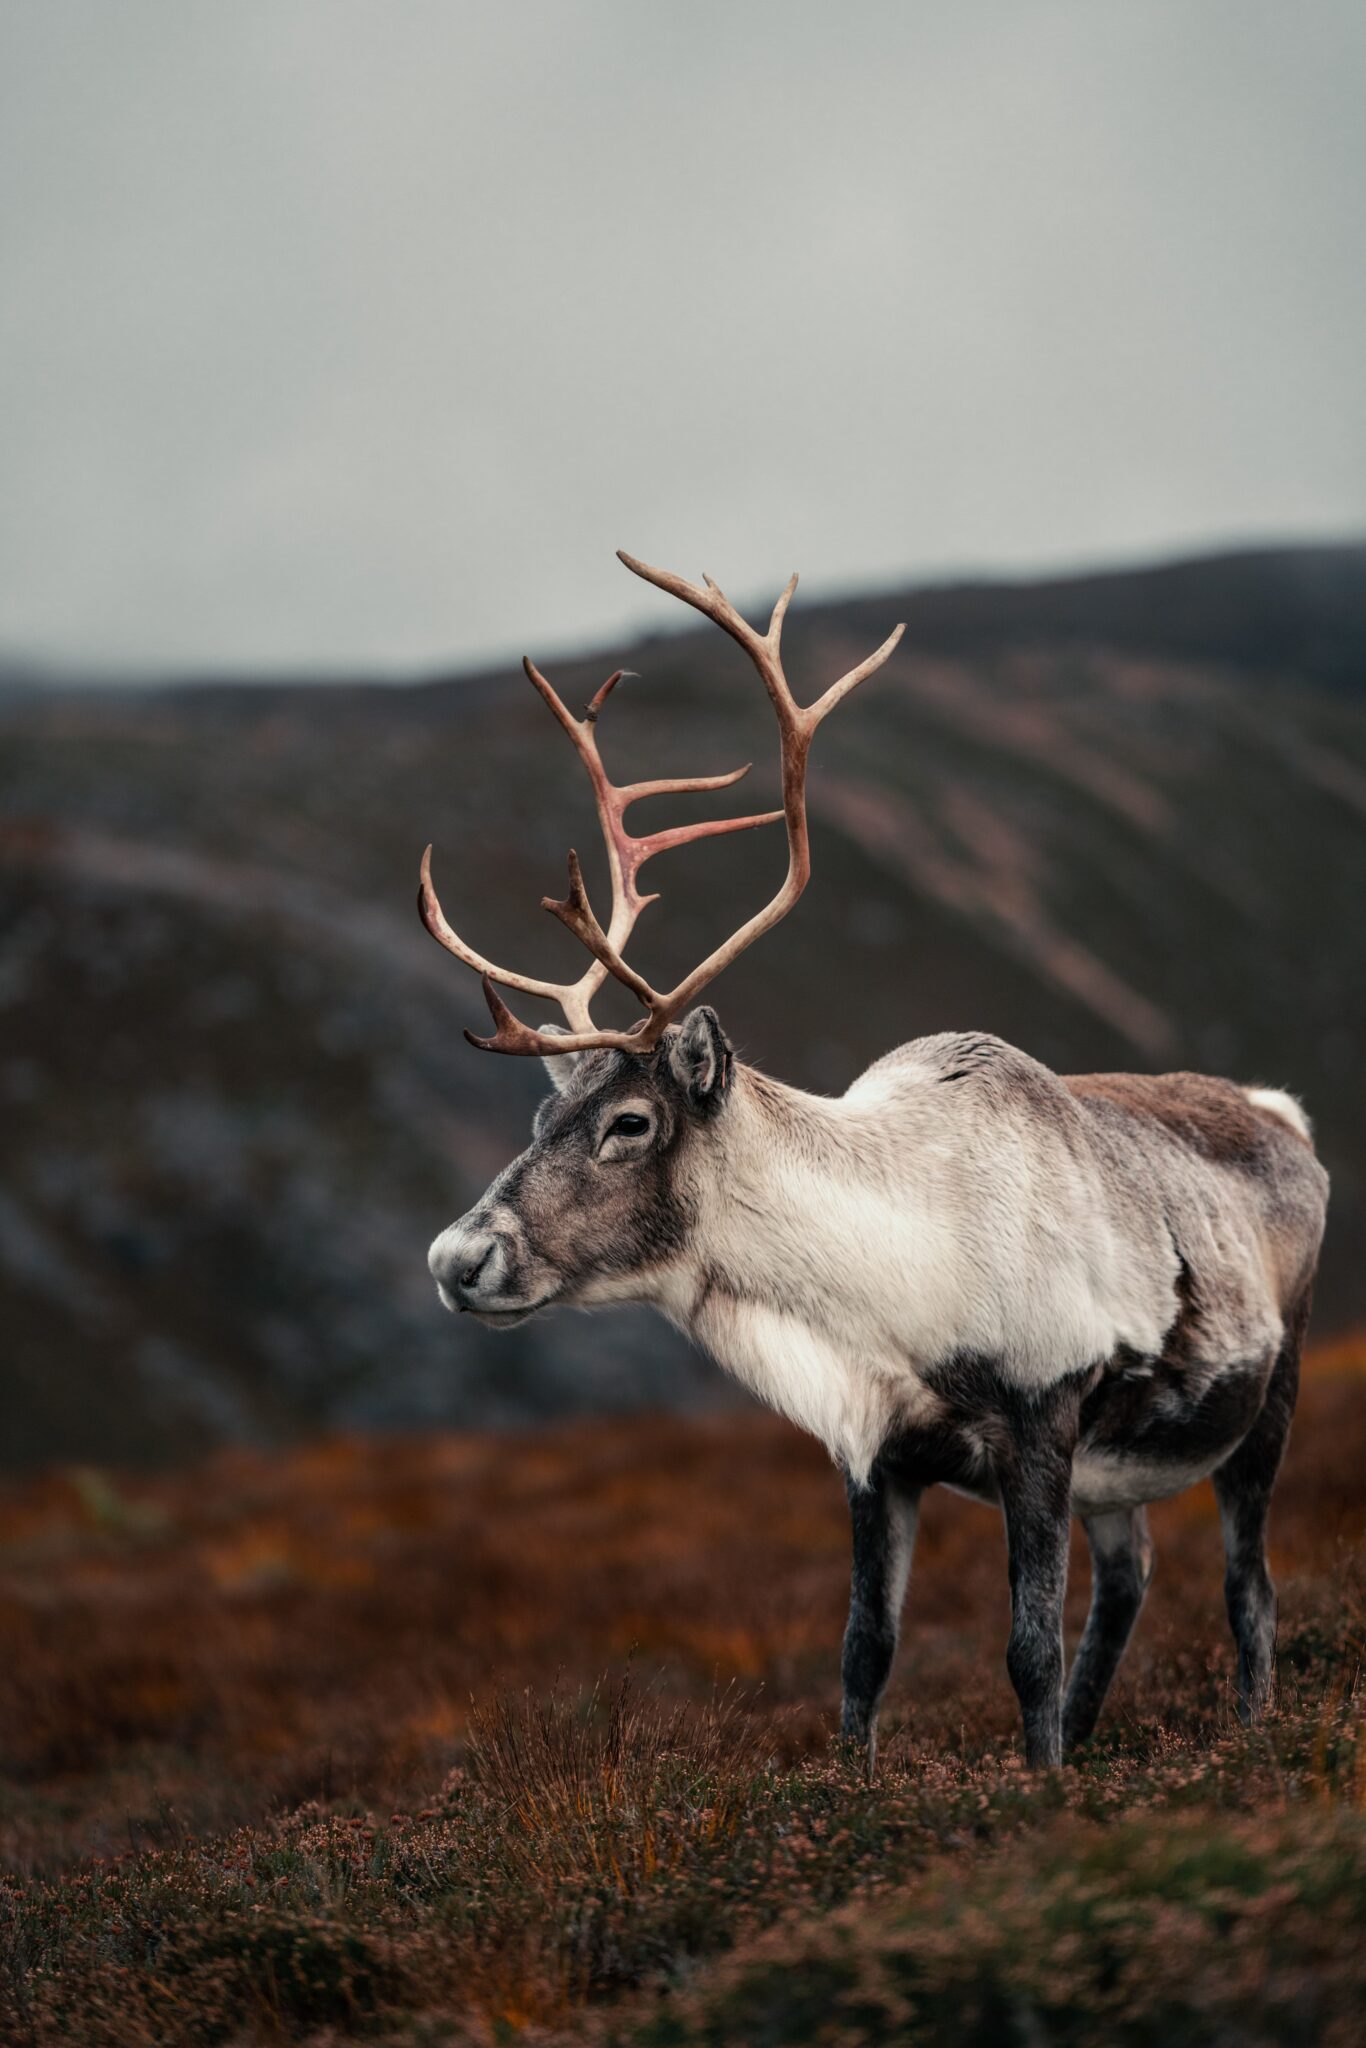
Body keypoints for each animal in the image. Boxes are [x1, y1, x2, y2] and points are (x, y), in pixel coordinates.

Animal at [420, 550, 1329, 1770]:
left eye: (630, 1123)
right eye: (541, 1112)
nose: (456, 1257)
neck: (887, 1280)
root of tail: (1284, 1115)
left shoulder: (1042, 1422)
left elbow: (1025, 1646)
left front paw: (1040, 1784)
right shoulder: (875, 1457)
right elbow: (864, 1654)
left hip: (1265, 1402)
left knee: (1247, 1582)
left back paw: (1244, 1727)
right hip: (1119, 1474)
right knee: (1131, 1581)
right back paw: (1094, 1739)